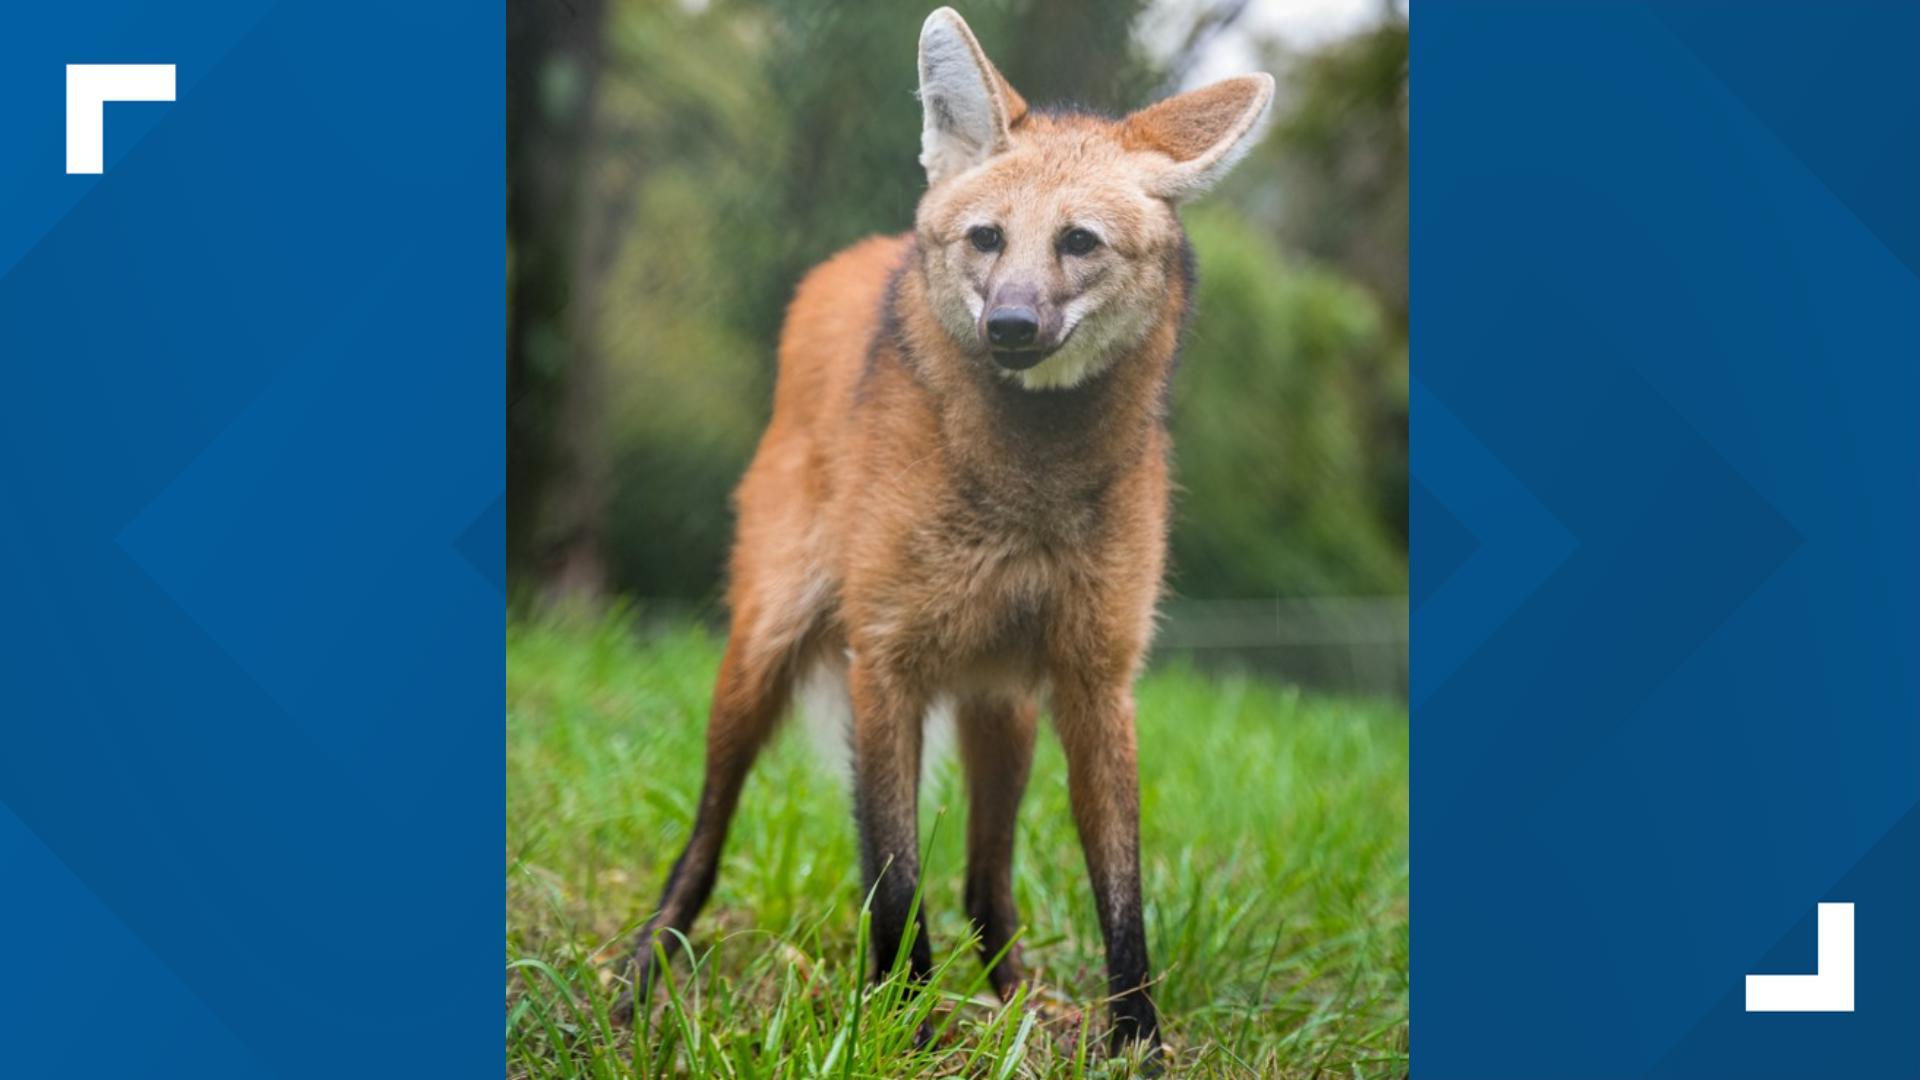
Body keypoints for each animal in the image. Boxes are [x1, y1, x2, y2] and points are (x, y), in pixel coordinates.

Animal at [615, 7, 1272, 1058]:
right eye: (987, 238)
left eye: (1079, 242)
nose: (1010, 325)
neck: (1025, 486)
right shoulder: (886, 657)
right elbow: (893, 877)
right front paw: (901, 1025)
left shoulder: (1096, 676)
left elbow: (1119, 887)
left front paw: (1135, 1041)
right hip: (762, 650)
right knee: (707, 835)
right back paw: (641, 978)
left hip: (1004, 705)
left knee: (985, 884)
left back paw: (1014, 1002)